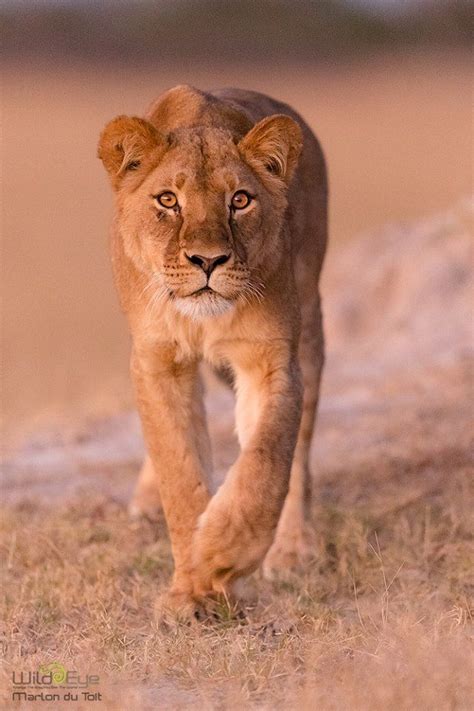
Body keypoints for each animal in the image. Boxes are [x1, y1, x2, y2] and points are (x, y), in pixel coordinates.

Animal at [98, 85, 327, 618]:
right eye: (168, 200)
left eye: (239, 200)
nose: (208, 260)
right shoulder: (156, 360)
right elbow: (179, 471)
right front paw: (191, 592)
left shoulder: (271, 358)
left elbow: (266, 461)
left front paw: (221, 554)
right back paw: (146, 501)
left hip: (309, 326)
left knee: (300, 452)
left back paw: (294, 548)